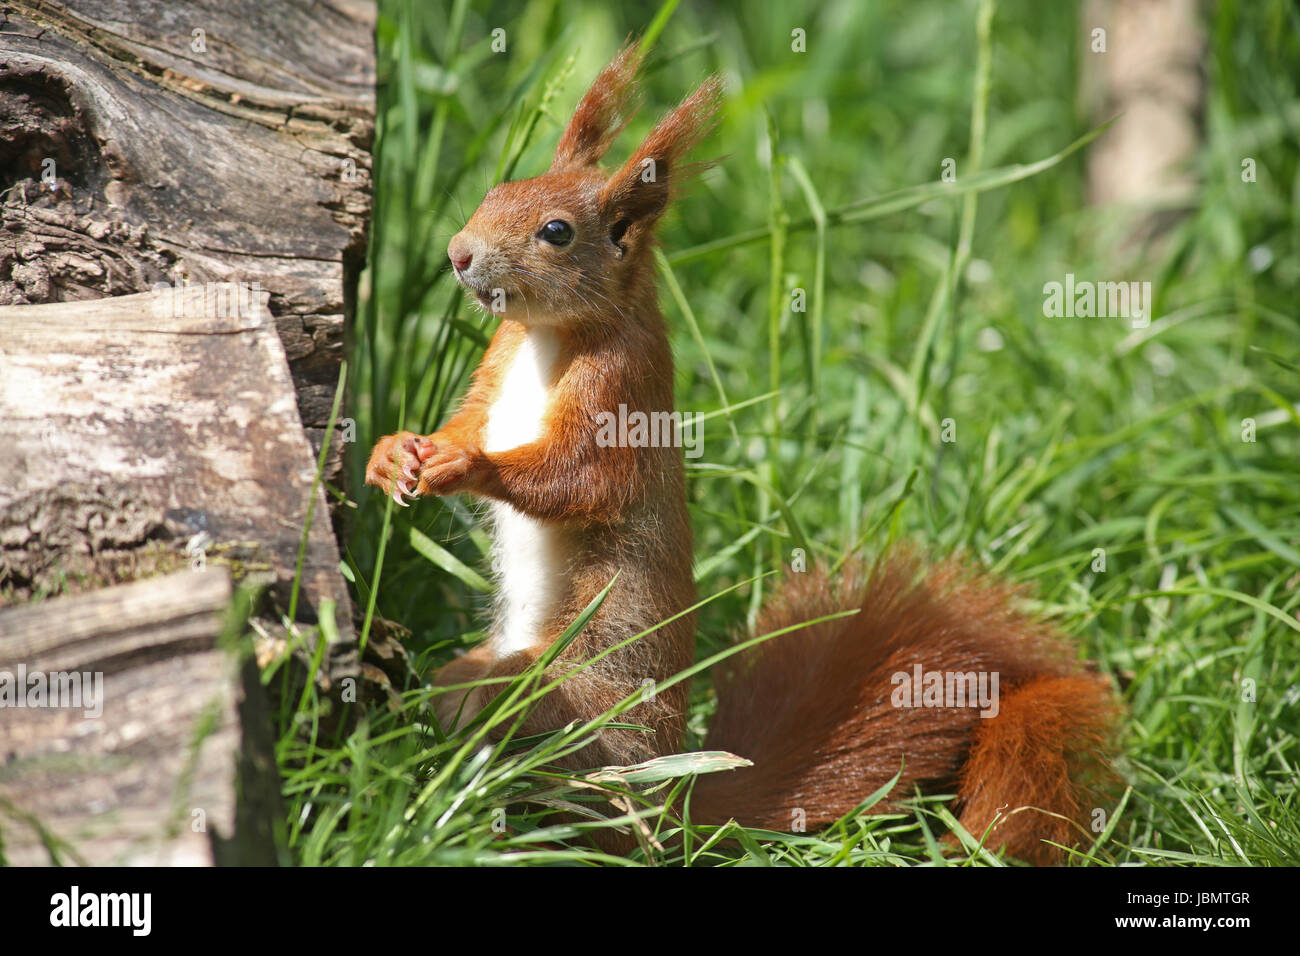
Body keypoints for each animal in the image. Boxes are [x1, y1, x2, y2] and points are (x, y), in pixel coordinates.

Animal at [365, 43, 1119, 865]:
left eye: (556, 232)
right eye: (499, 189)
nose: (458, 253)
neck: (546, 335)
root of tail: (673, 804)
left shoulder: (620, 391)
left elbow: (582, 479)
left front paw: (468, 470)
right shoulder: (497, 368)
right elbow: (471, 421)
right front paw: (396, 453)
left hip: (573, 692)